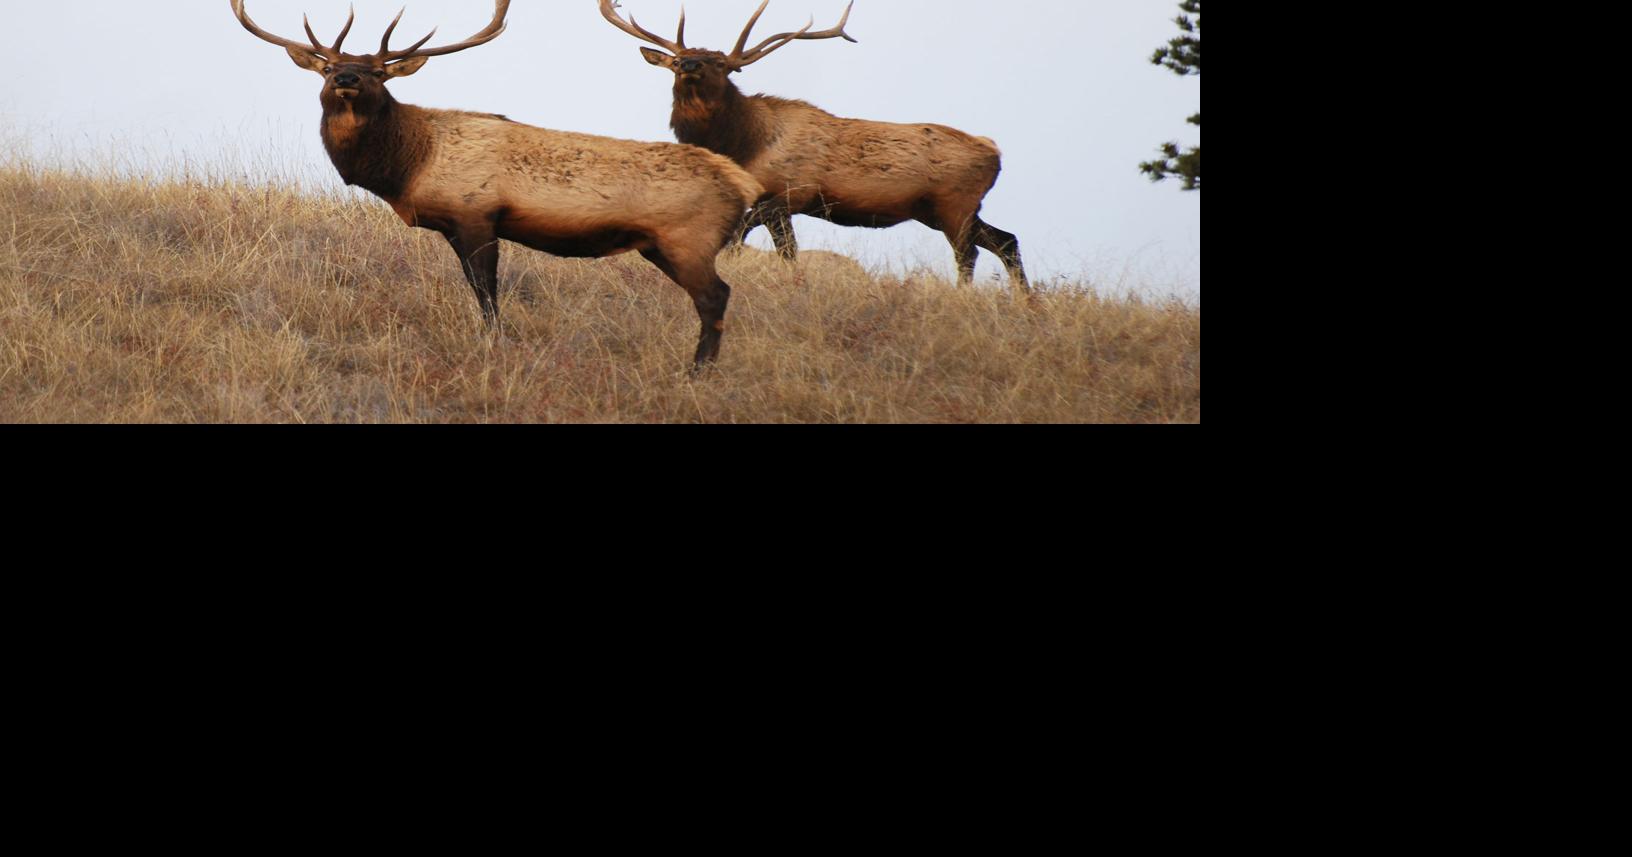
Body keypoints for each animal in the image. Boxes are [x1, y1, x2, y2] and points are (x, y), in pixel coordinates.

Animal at [231, 0, 765, 369]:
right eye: (325, 66)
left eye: (380, 72)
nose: (346, 77)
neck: (409, 163)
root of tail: (741, 182)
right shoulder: (452, 225)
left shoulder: (477, 213)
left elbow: (486, 293)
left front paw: (491, 343)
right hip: (661, 245)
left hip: (688, 238)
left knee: (715, 296)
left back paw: (698, 372)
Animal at [600, 0, 1029, 294]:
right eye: (677, 61)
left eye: (721, 63)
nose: (689, 64)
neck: (745, 145)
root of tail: (995, 152)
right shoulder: (778, 203)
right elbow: (784, 250)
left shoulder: (795, 191)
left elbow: (744, 233)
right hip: (943, 210)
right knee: (1006, 240)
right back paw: (1026, 303)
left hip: (955, 203)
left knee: (969, 253)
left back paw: (965, 297)